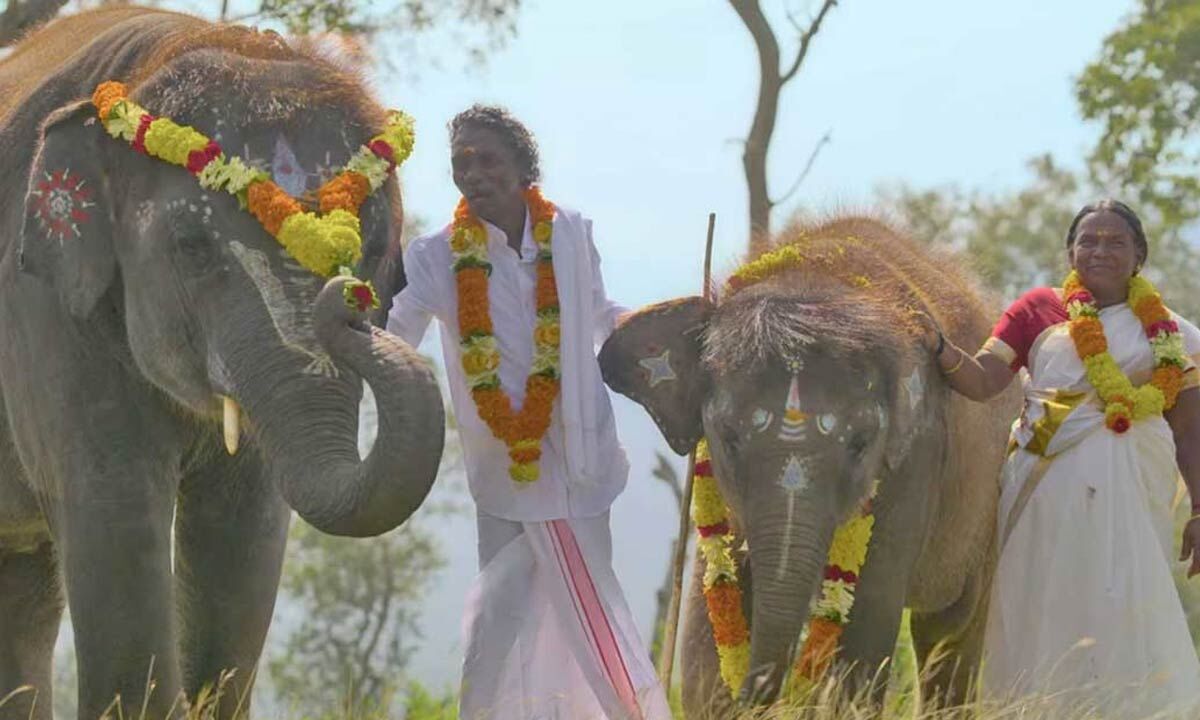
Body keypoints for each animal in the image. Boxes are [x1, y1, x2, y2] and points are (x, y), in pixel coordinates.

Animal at [0, 7, 444, 719]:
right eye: (191, 246)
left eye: (377, 246)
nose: (344, 293)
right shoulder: (40, 309)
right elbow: (114, 514)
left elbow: (244, 536)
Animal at [600, 216, 1019, 716]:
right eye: (729, 438)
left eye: (860, 444)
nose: (763, 697)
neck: (815, 275)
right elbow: (707, 617)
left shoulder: (919, 455)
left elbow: (868, 616)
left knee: (949, 630)